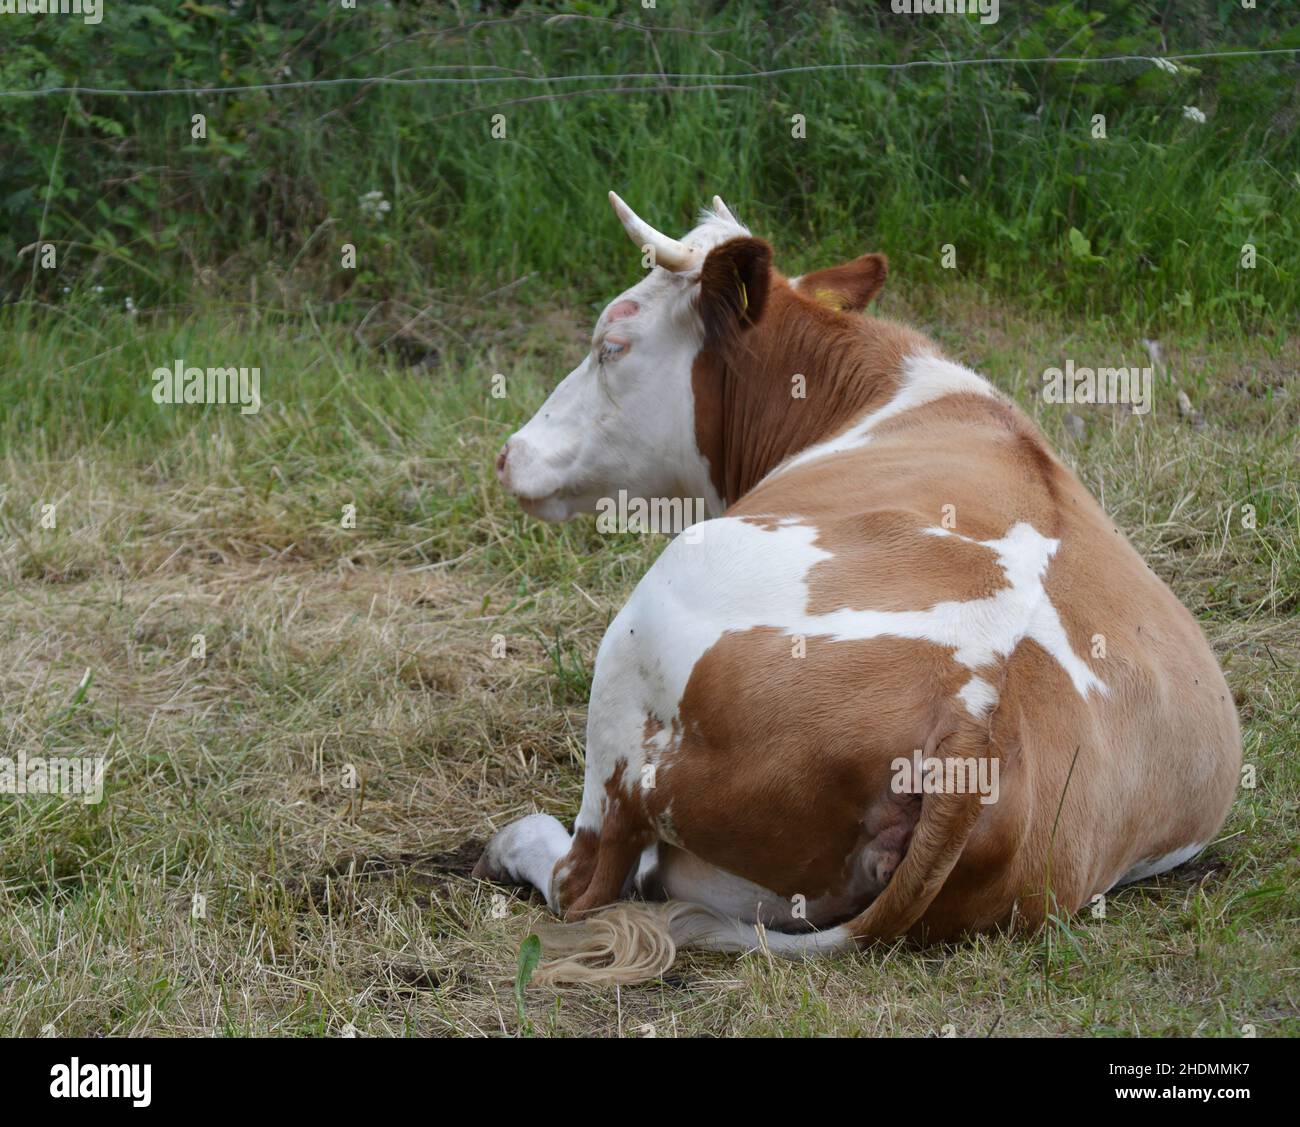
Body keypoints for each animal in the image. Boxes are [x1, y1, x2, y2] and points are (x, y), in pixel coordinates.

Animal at [474, 192, 1242, 983]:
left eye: (612, 344)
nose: (510, 453)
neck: (879, 388)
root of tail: (974, 719)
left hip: (637, 637)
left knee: (585, 878)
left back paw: (515, 844)